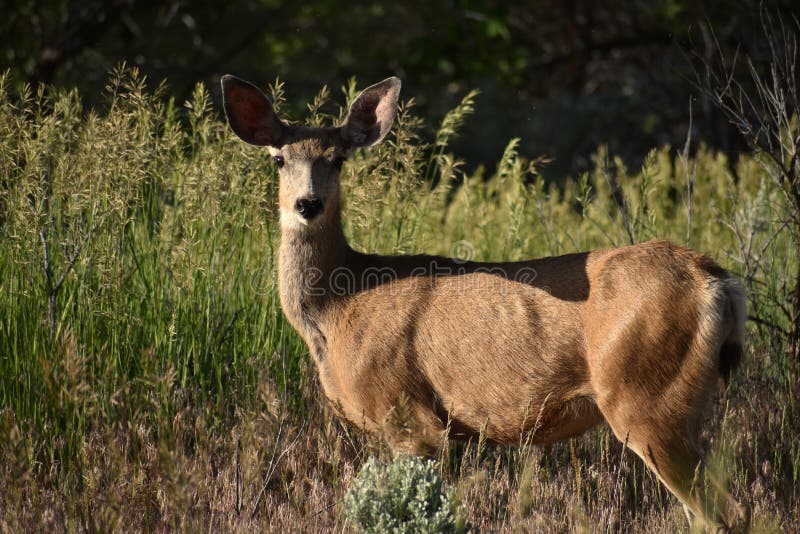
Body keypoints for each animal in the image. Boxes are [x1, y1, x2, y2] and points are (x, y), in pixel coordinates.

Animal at [221, 74, 748, 532]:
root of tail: (717, 280)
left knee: (727, 512)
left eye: (338, 159)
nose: (307, 204)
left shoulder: (408, 413)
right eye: (278, 159)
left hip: (644, 396)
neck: (339, 306)